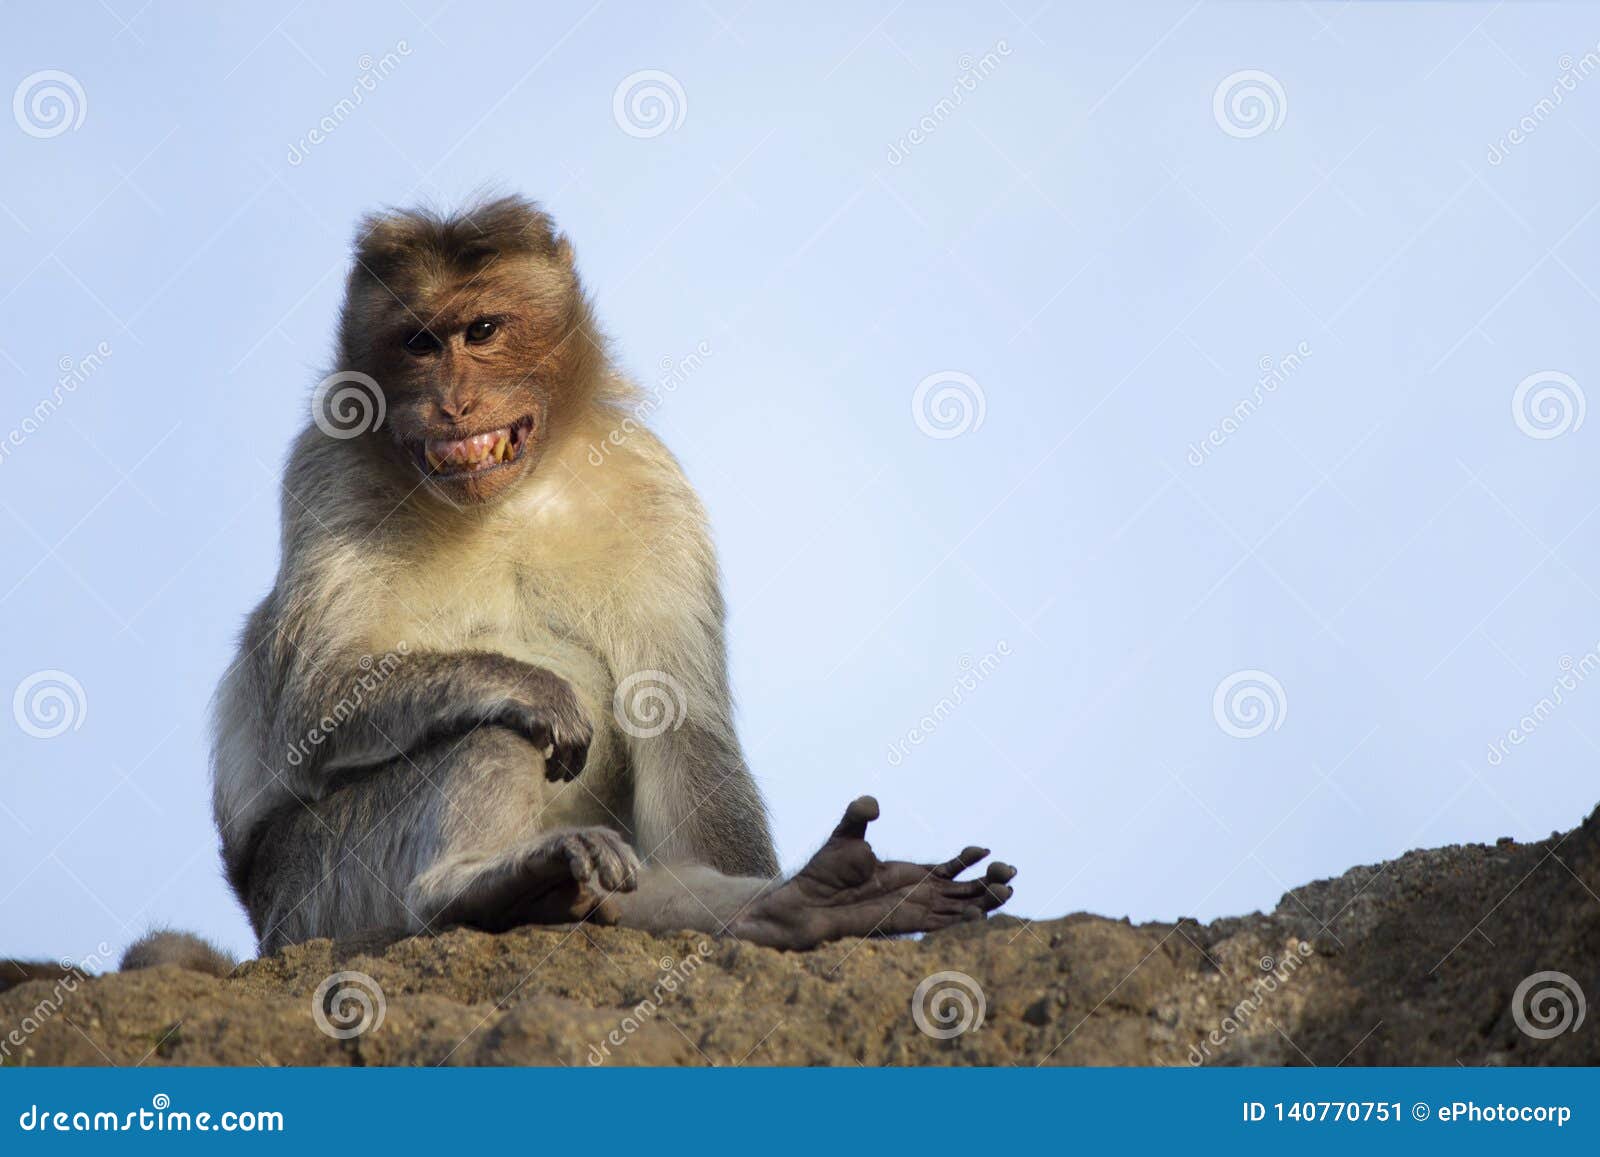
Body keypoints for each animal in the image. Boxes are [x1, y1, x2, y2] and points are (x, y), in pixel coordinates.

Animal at [182, 195, 1014, 959]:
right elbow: (313, 702)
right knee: (498, 726)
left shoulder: (650, 485)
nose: (452, 401)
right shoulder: (328, 468)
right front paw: (532, 689)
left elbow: (681, 723)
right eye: (418, 343)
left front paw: (781, 907)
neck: (504, 502)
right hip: (320, 892)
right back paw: (473, 883)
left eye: (482, 331)